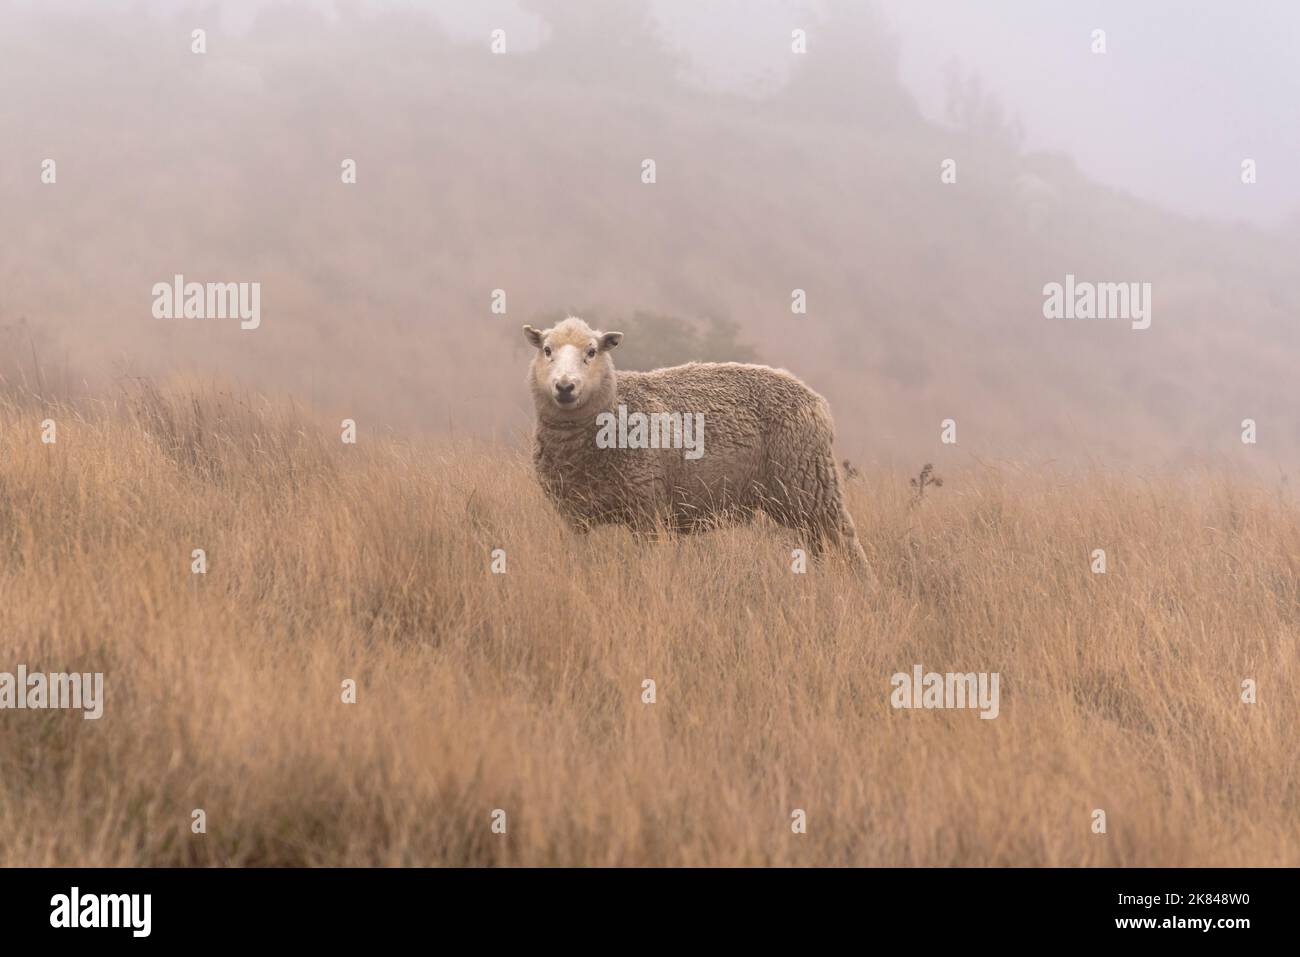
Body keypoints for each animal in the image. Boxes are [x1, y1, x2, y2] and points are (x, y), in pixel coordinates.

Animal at [522, 316, 871, 574]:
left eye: (592, 351)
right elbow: (578, 562)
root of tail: (816, 399)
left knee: (843, 536)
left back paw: (861, 586)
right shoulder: (574, 517)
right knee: (818, 540)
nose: (564, 386)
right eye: (547, 350)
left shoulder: (647, 511)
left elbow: (648, 566)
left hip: (809, 481)